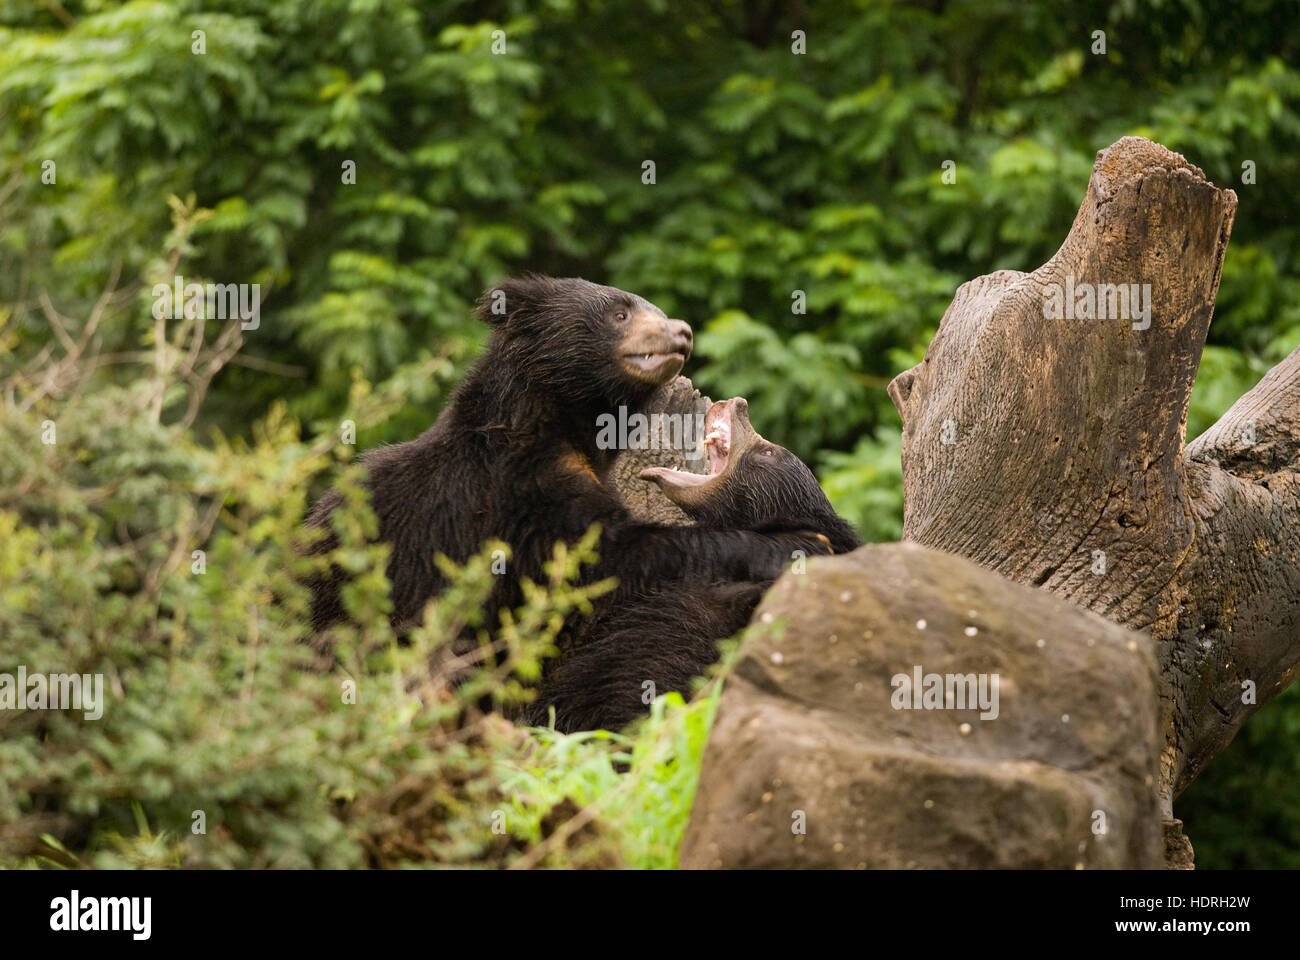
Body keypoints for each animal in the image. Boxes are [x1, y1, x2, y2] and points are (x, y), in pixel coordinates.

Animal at [304, 276, 831, 657]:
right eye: (621, 311)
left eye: (656, 312)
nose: (682, 333)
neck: (564, 426)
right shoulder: (517, 493)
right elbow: (609, 555)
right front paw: (800, 542)